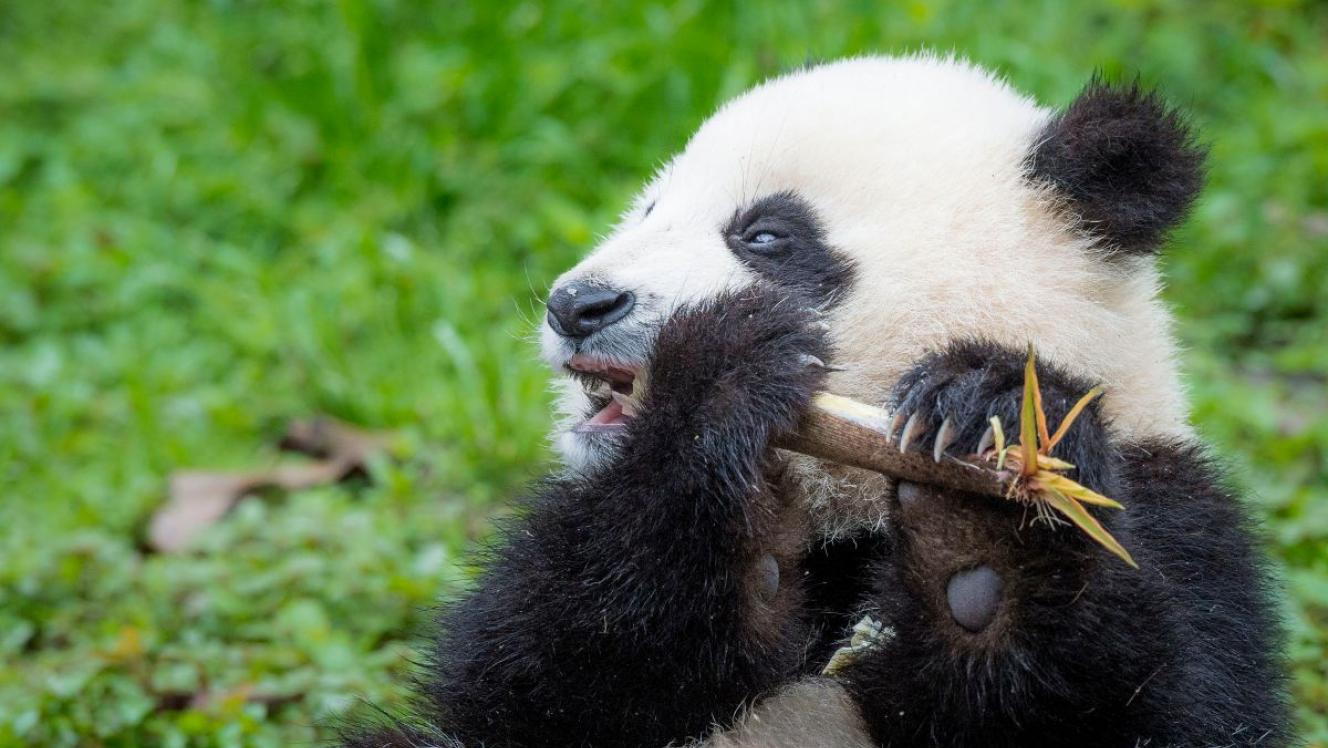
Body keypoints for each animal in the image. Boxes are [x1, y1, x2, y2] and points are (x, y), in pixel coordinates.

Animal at [339, 55, 1290, 747]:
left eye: (764, 235)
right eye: (648, 209)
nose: (579, 305)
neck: (850, 514)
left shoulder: (1178, 521)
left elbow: (1157, 704)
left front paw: (983, 508)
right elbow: (540, 679)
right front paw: (722, 391)